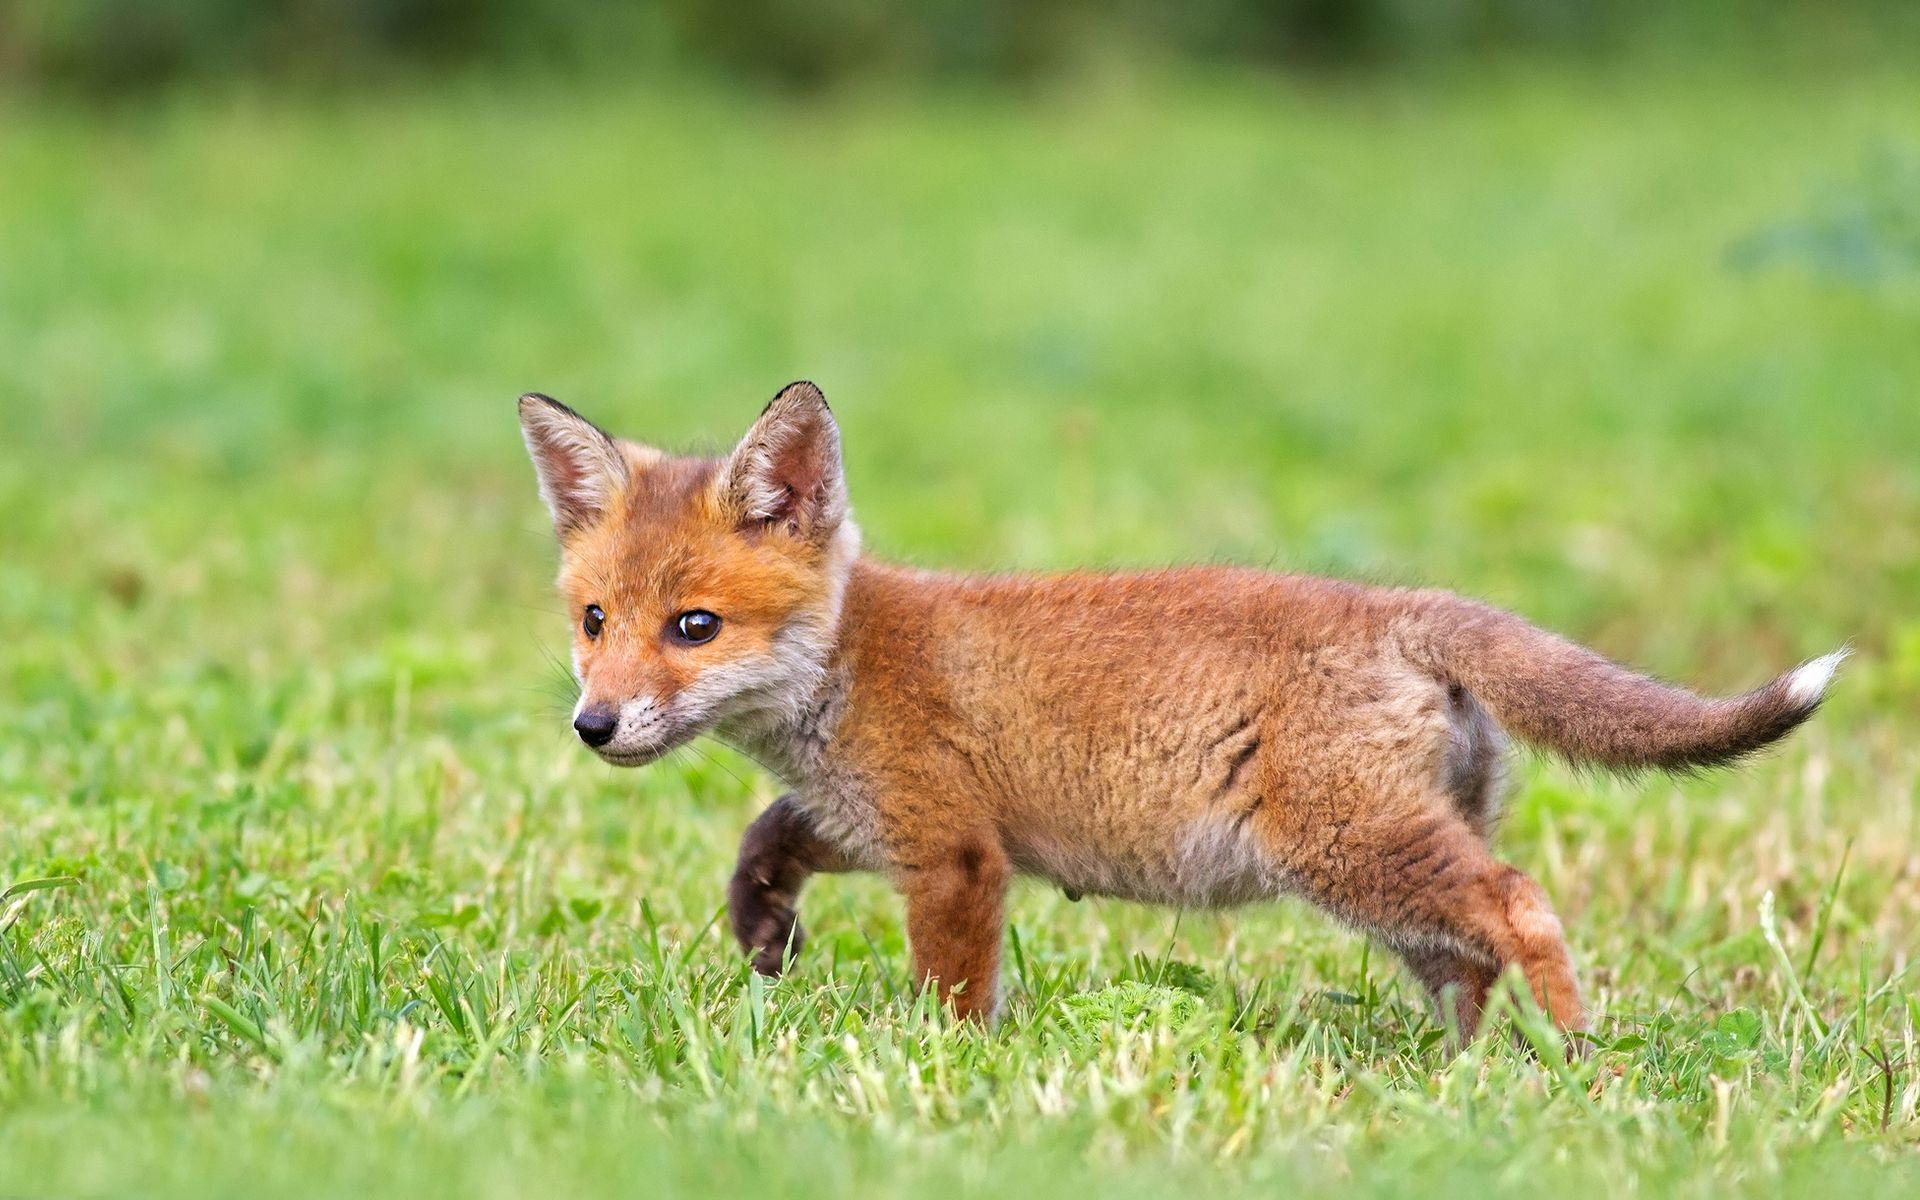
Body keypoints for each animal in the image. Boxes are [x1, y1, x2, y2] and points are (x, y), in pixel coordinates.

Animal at [518, 380, 1843, 1037]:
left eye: (694, 628)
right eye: (594, 621)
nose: (595, 726)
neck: (849, 659)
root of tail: (1404, 604)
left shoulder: (952, 853)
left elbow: (953, 996)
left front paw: (946, 1078)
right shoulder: (875, 820)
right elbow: (767, 839)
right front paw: (764, 932)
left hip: (1350, 850)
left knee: (1519, 906)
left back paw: (1575, 1059)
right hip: (1386, 874)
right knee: (1468, 960)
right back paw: (1457, 1085)